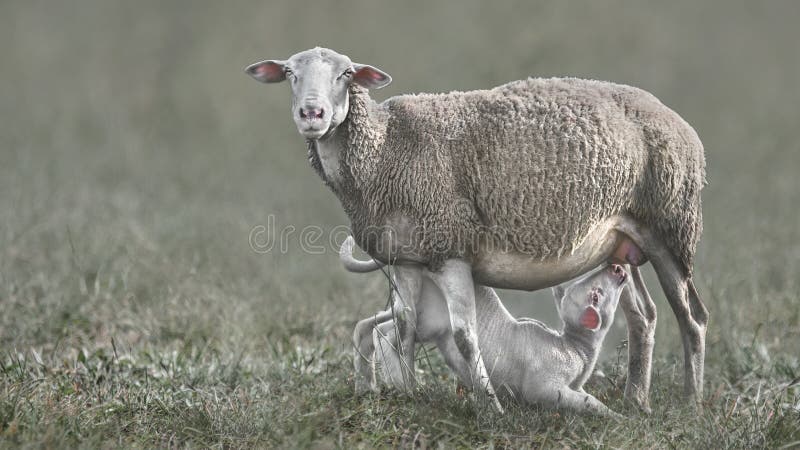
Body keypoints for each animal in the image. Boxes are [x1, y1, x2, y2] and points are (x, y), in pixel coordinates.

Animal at [245, 47, 707, 411]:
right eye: (289, 72)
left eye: (345, 73)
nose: (312, 114)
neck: (386, 149)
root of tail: (678, 120)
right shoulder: (407, 257)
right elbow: (405, 327)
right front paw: (407, 395)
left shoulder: (450, 248)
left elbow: (465, 336)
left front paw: (491, 408)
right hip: (624, 242)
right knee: (644, 317)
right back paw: (637, 401)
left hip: (672, 229)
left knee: (693, 319)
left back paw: (691, 403)